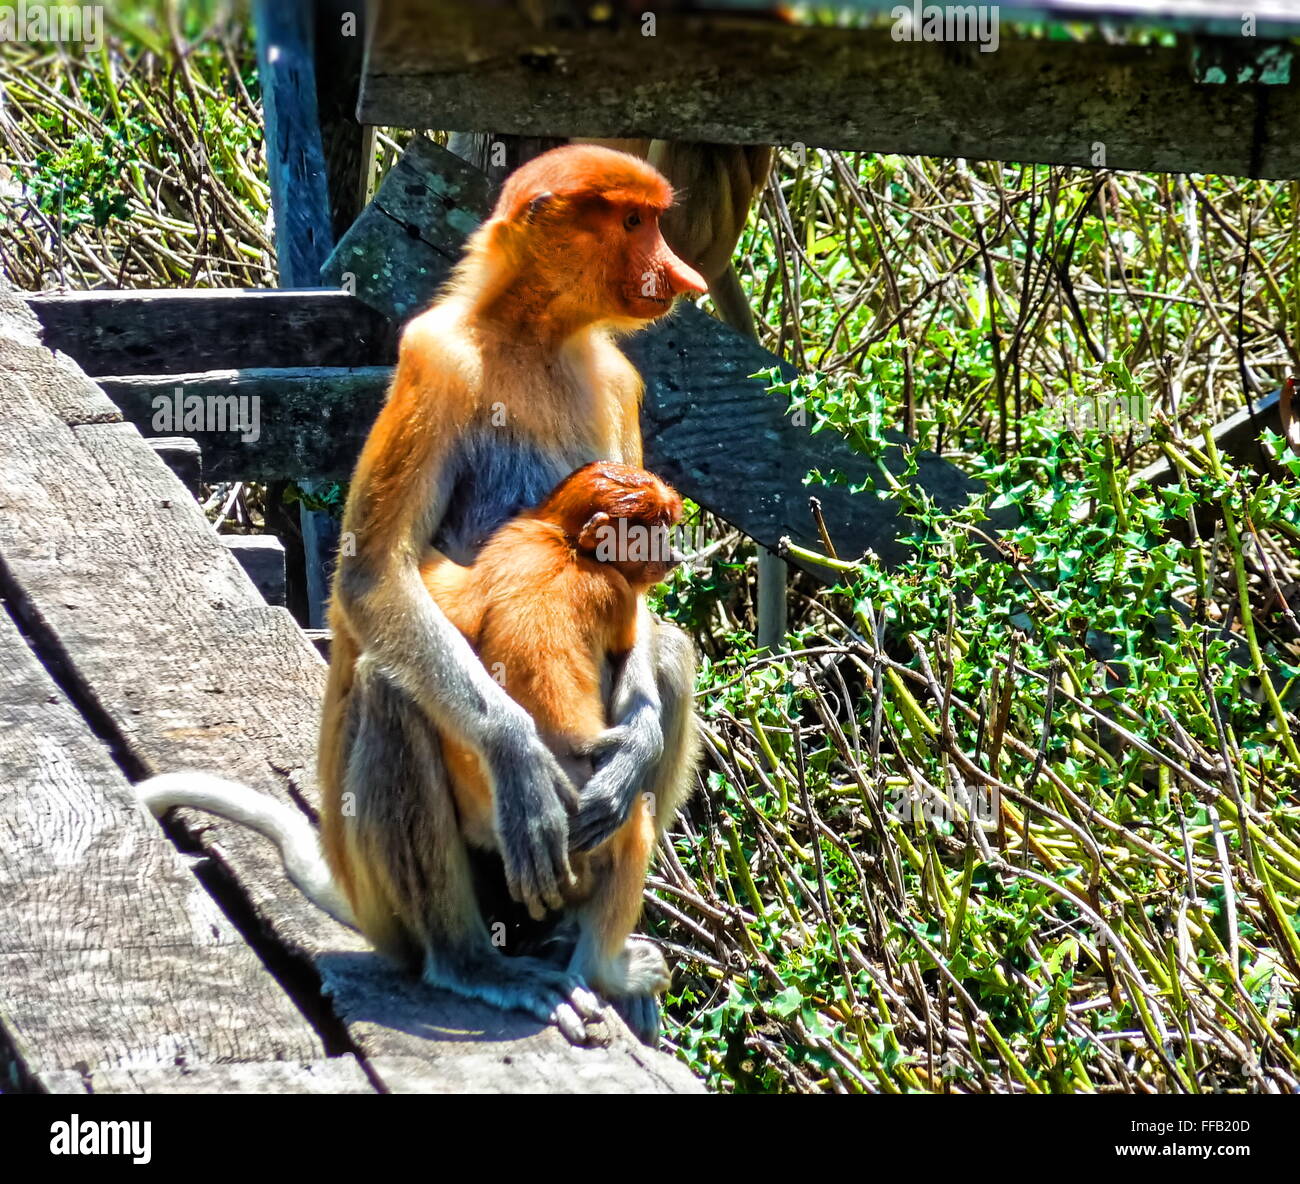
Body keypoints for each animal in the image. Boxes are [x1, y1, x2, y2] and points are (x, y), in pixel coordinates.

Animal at [421, 461, 687, 1037]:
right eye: (652, 530)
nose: (673, 555)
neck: (562, 540)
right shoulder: (615, 592)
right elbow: (633, 633)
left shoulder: (509, 536)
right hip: (572, 838)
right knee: (629, 826)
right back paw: (606, 971)